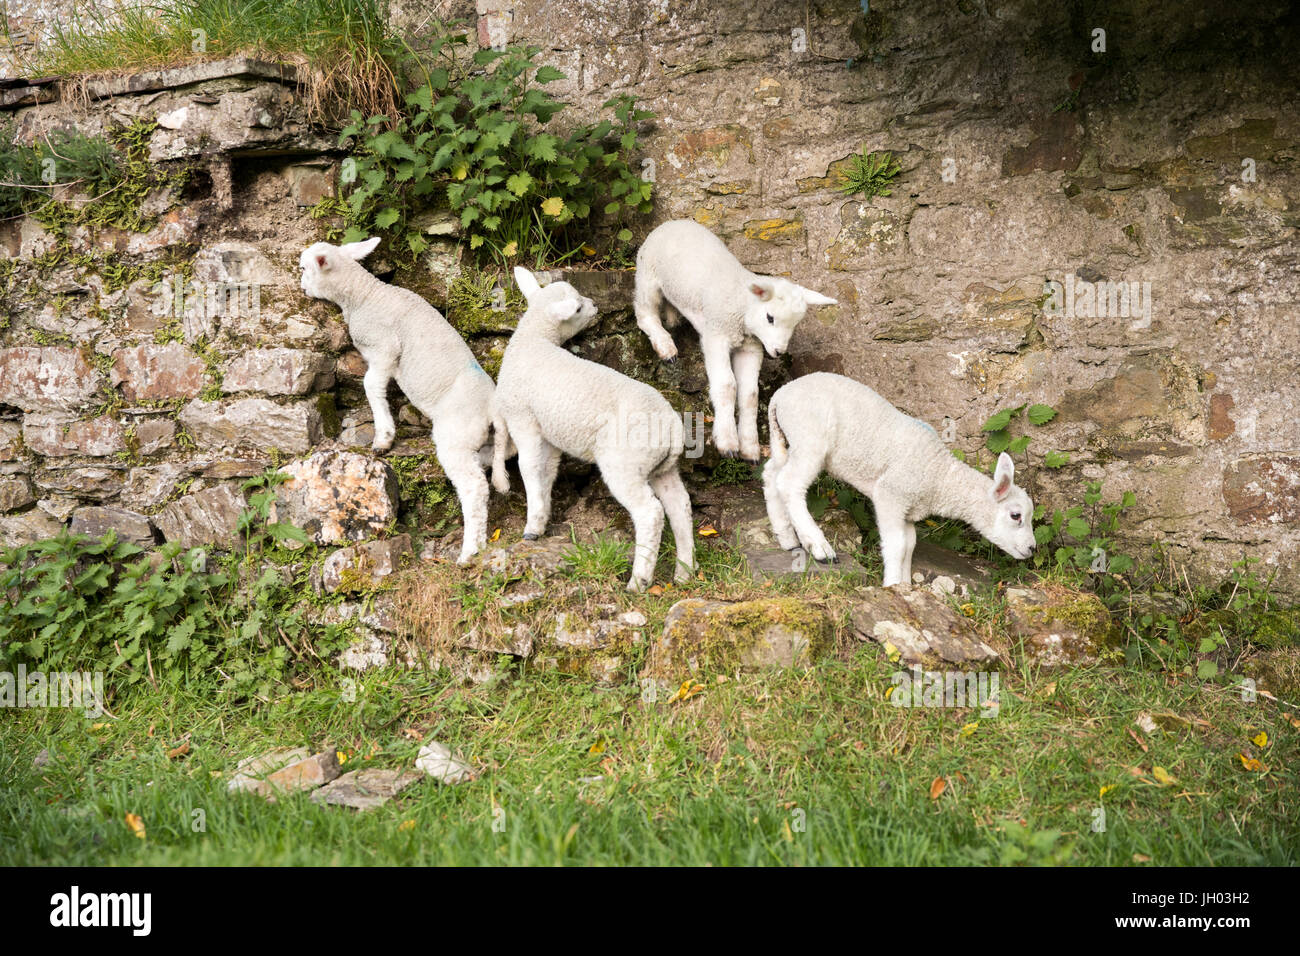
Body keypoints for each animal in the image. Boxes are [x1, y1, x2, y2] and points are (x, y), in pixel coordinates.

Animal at [298, 237, 507, 565]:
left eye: (305, 268)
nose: (302, 287)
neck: (364, 295)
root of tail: (492, 409)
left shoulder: (384, 349)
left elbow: (372, 386)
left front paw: (383, 438)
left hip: (456, 437)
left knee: (474, 488)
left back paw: (469, 551)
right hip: (485, 442)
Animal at [493, 267, 695, 592]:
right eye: (577, 308)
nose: (595, 305)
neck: (533, 340)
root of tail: (672, 429)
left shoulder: (524, 420)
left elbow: (529, 468)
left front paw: (531, 526)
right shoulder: (549, 433)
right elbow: (547, 471)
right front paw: (542, 518)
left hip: (625, 463)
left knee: (650, 513)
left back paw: (639, 581)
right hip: (661, 467)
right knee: (680, 506)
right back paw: (684, 572)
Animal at [633, 219, 837, 461]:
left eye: (795, 324)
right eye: (770, 317)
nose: (778, 351)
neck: (742, 307)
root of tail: (673, 221)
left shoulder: (751, 348)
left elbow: (750, 395)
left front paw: (750, 448)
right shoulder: (716, 335)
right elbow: (727, 385)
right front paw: (728, 442)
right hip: (648, 274)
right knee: (644, 312)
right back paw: (665, 346)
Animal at [762, 372, 1037, 587]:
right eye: (1016, 516)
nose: (1033, 549)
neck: (939, 475)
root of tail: (779, 396)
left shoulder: (909, 511)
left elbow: (909, 546)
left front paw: (904, 586)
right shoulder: (891, 494)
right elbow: (896, 545)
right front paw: (892, 584)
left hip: (786, 437)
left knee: (771, 474)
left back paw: (787, 538)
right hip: (811, 438)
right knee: (789, 483)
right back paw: (819, 547)